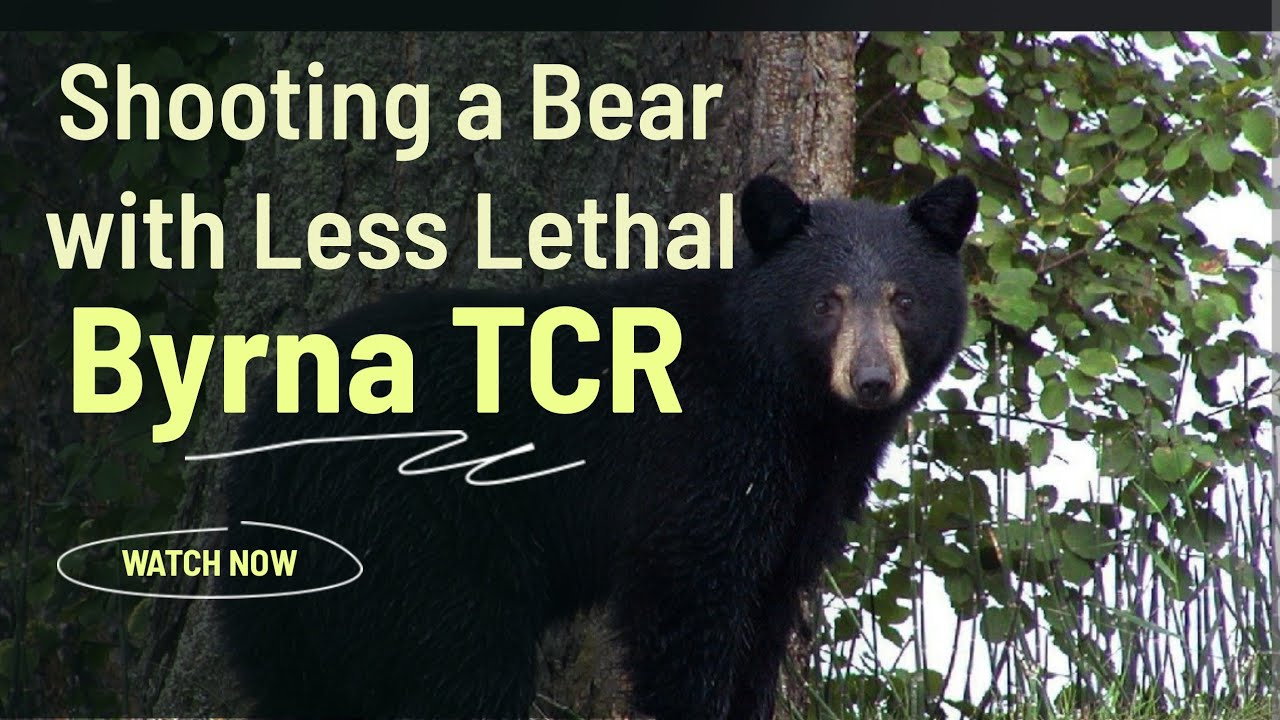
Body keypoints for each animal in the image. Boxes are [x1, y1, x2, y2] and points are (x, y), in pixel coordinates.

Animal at [213, 173, 978, 720]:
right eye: (827, 302)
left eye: (904, 299)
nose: (872, 381)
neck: (795, 408)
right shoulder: (702, 449)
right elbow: (685, 593)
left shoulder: (810, 492)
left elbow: (770, 604)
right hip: (411, 529)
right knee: (465, 661)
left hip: (294, 590)